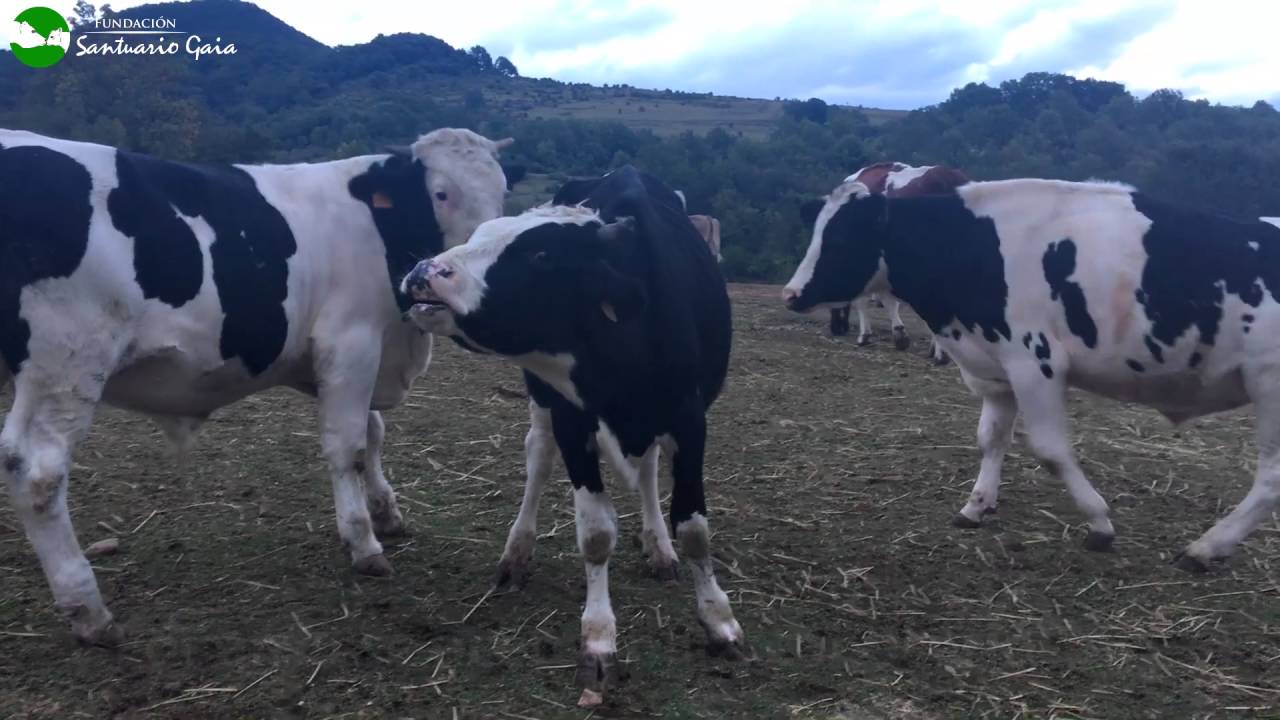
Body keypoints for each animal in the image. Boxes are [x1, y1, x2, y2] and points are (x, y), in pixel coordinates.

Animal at [0, 127, 510, 645]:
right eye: (441, 193)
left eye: (503, 191)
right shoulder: (350, 343)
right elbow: (347, 446)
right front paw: (363, 541)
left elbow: (374, 433)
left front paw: (386, 512)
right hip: (67, 364)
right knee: (38, 472)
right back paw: (87, 608)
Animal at [401, 166, 742, 706]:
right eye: (479, 235)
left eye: (542, 255)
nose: (423, 271)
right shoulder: (571, 419)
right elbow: (596, 533)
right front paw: (599, 642)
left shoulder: (690, 421)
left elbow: (693, 529)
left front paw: (719, 621)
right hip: (543, 404)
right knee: (538, 458)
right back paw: (517, 553)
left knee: (648, 471)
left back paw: (657, 546)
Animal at [783, 175, 1280, 571]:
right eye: (817, 231)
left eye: (842, 239)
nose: (791, 293)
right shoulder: (996, 368)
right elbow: (990, 438)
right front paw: (976, 506)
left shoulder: (1034, 362)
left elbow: (1050, 450)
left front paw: (1099, 522)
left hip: (1269, 386)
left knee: (1270, 480)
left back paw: (1206, 548)